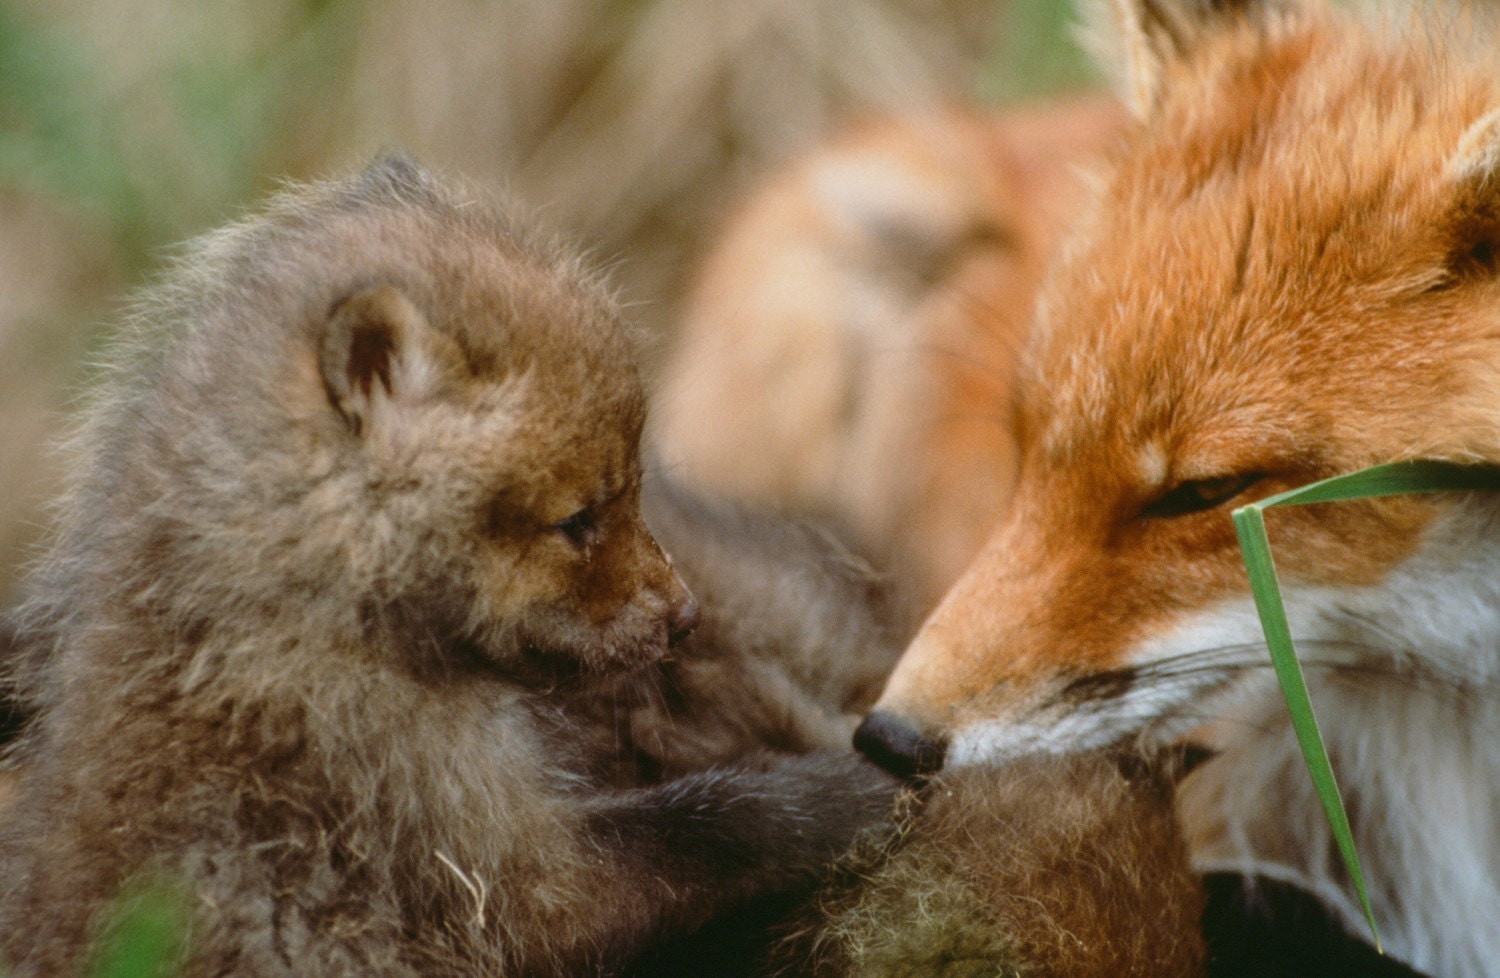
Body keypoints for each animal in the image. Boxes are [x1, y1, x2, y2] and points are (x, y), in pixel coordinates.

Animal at [0, 158, 898, 977]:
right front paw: (851, 792)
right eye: (577, 521)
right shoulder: (488, 871)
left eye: (636, 488)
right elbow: (719, 822)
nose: (686, 616)